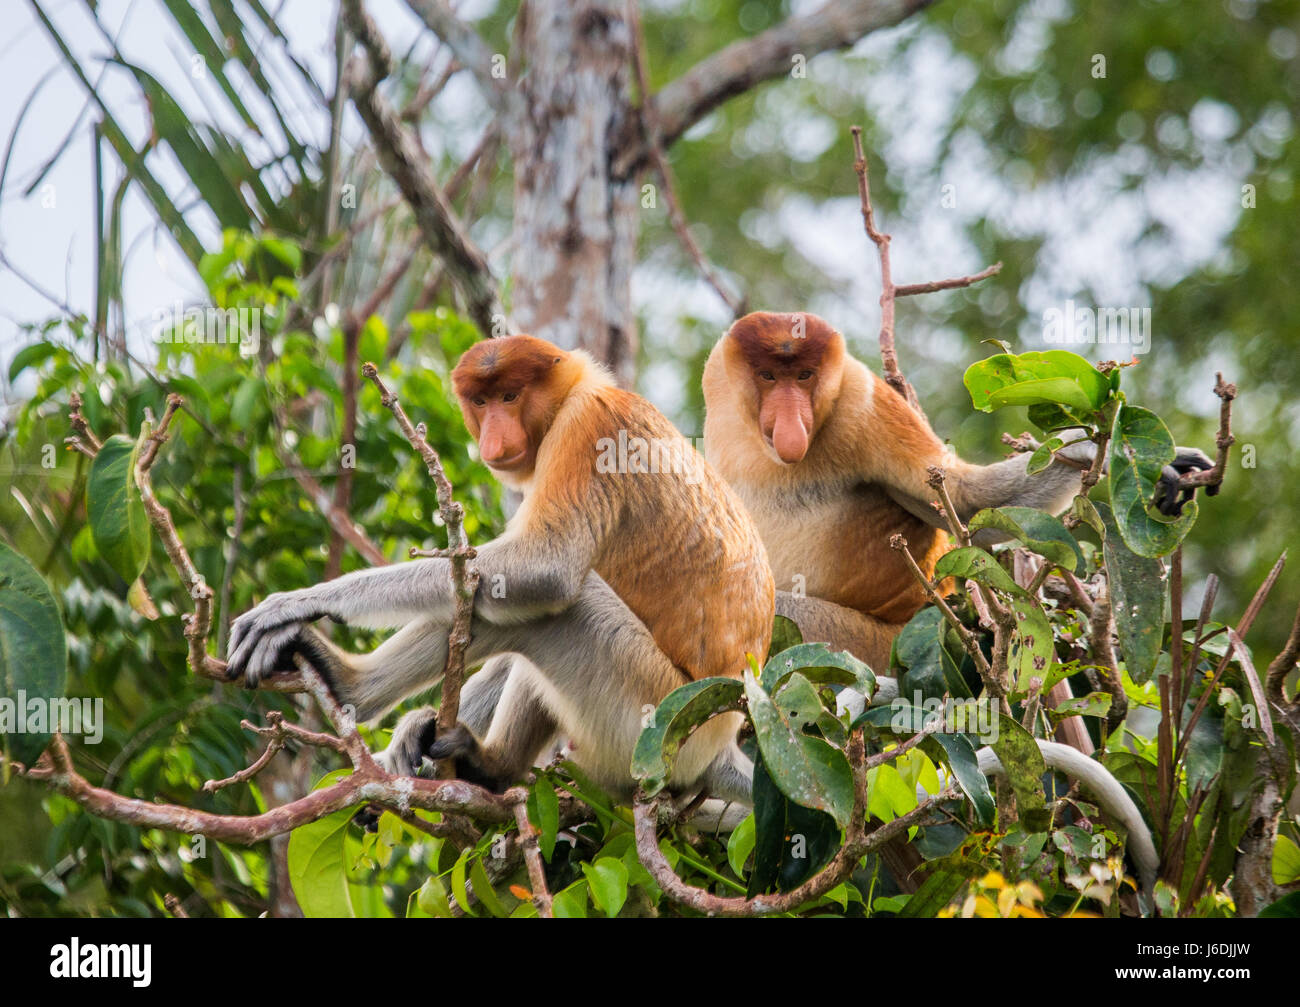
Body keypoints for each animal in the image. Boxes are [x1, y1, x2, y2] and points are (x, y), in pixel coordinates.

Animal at [226, 334, 774, 806]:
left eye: (511, 396)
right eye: (482, 401)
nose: (493, 435)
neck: (577, 393)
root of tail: (723, 743)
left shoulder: (589, 429)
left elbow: (545, 567)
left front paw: (299, 602)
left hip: (653, 720)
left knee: (562, 609)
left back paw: (491, 765)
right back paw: (351, 687)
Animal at [702, 311, 1216, 890]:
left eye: (806, 376)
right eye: (769, 377)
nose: (790, 420)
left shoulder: (863, 403)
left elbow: (966, 502)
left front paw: (1098, 452)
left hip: (868, 644)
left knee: (783, 617)